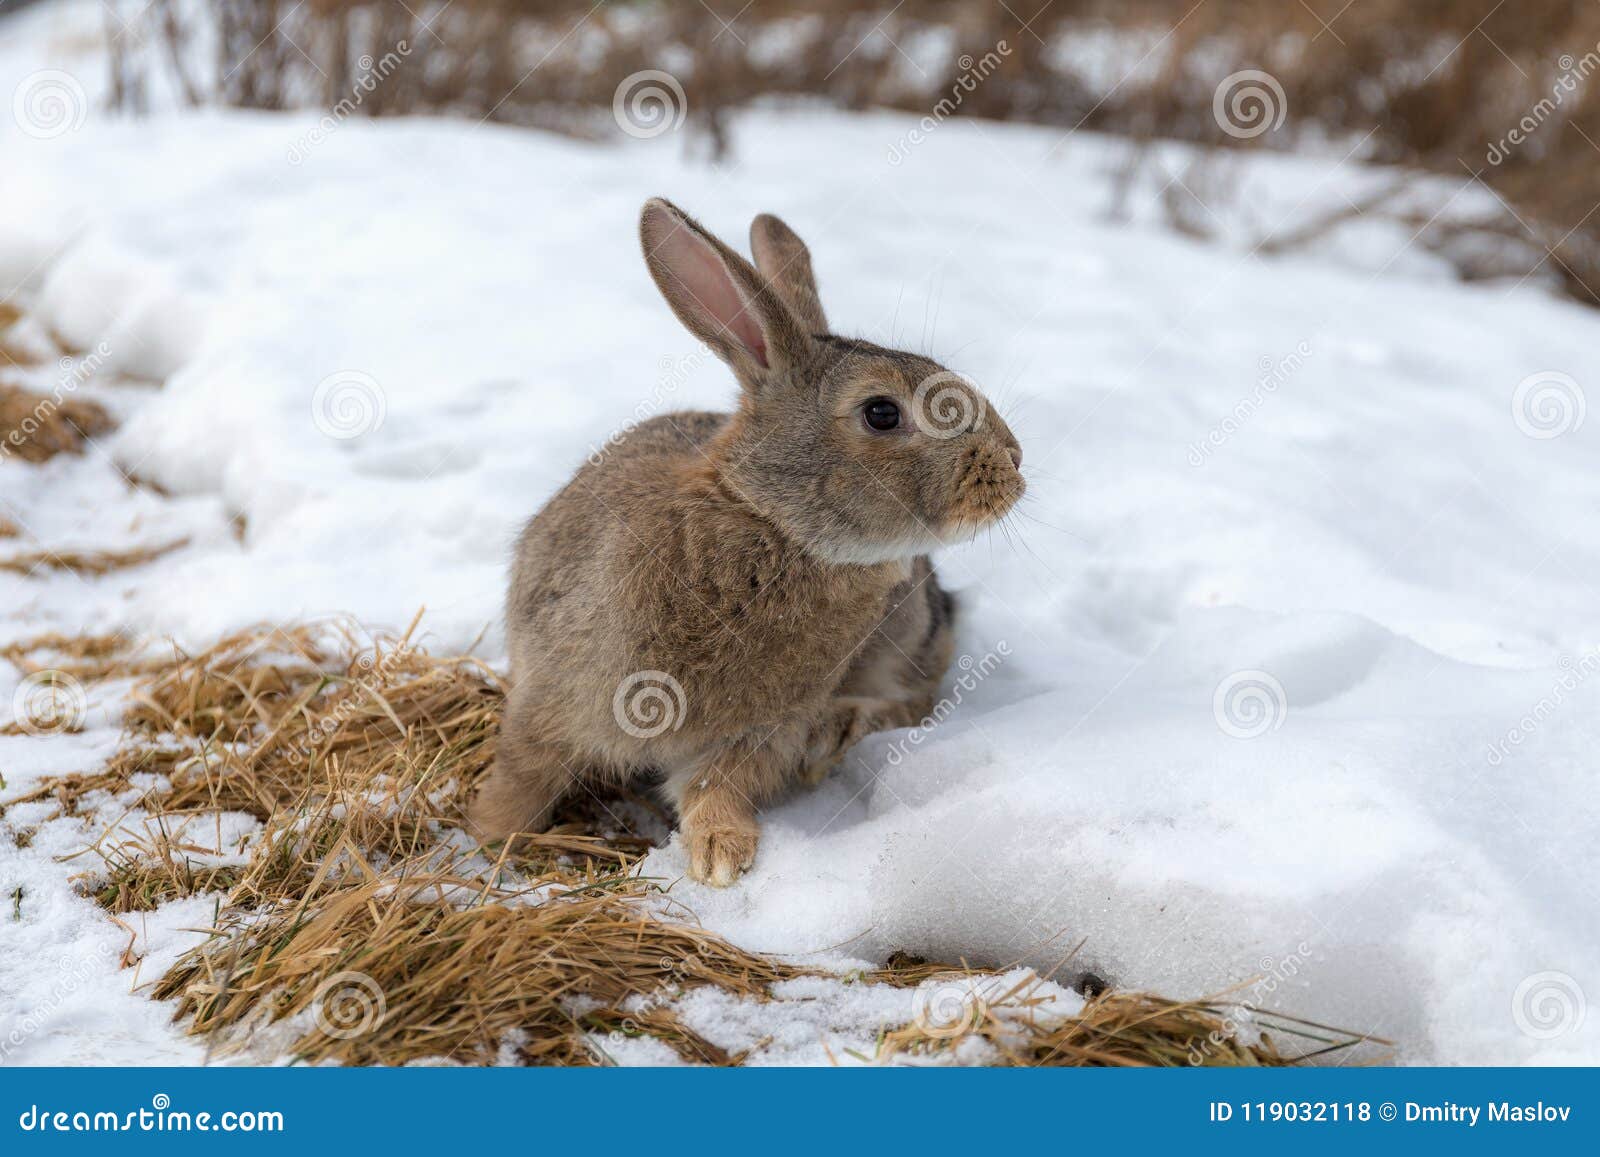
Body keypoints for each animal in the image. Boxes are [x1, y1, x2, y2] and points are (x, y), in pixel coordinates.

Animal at [469, 198, 1023, 886]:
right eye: (882, 413)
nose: (1013, 463)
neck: (771, 524)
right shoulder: (554, 690)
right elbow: (524, 771)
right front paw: (487, 834)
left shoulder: (759, 730)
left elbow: (718, 785)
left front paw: (720, 856)